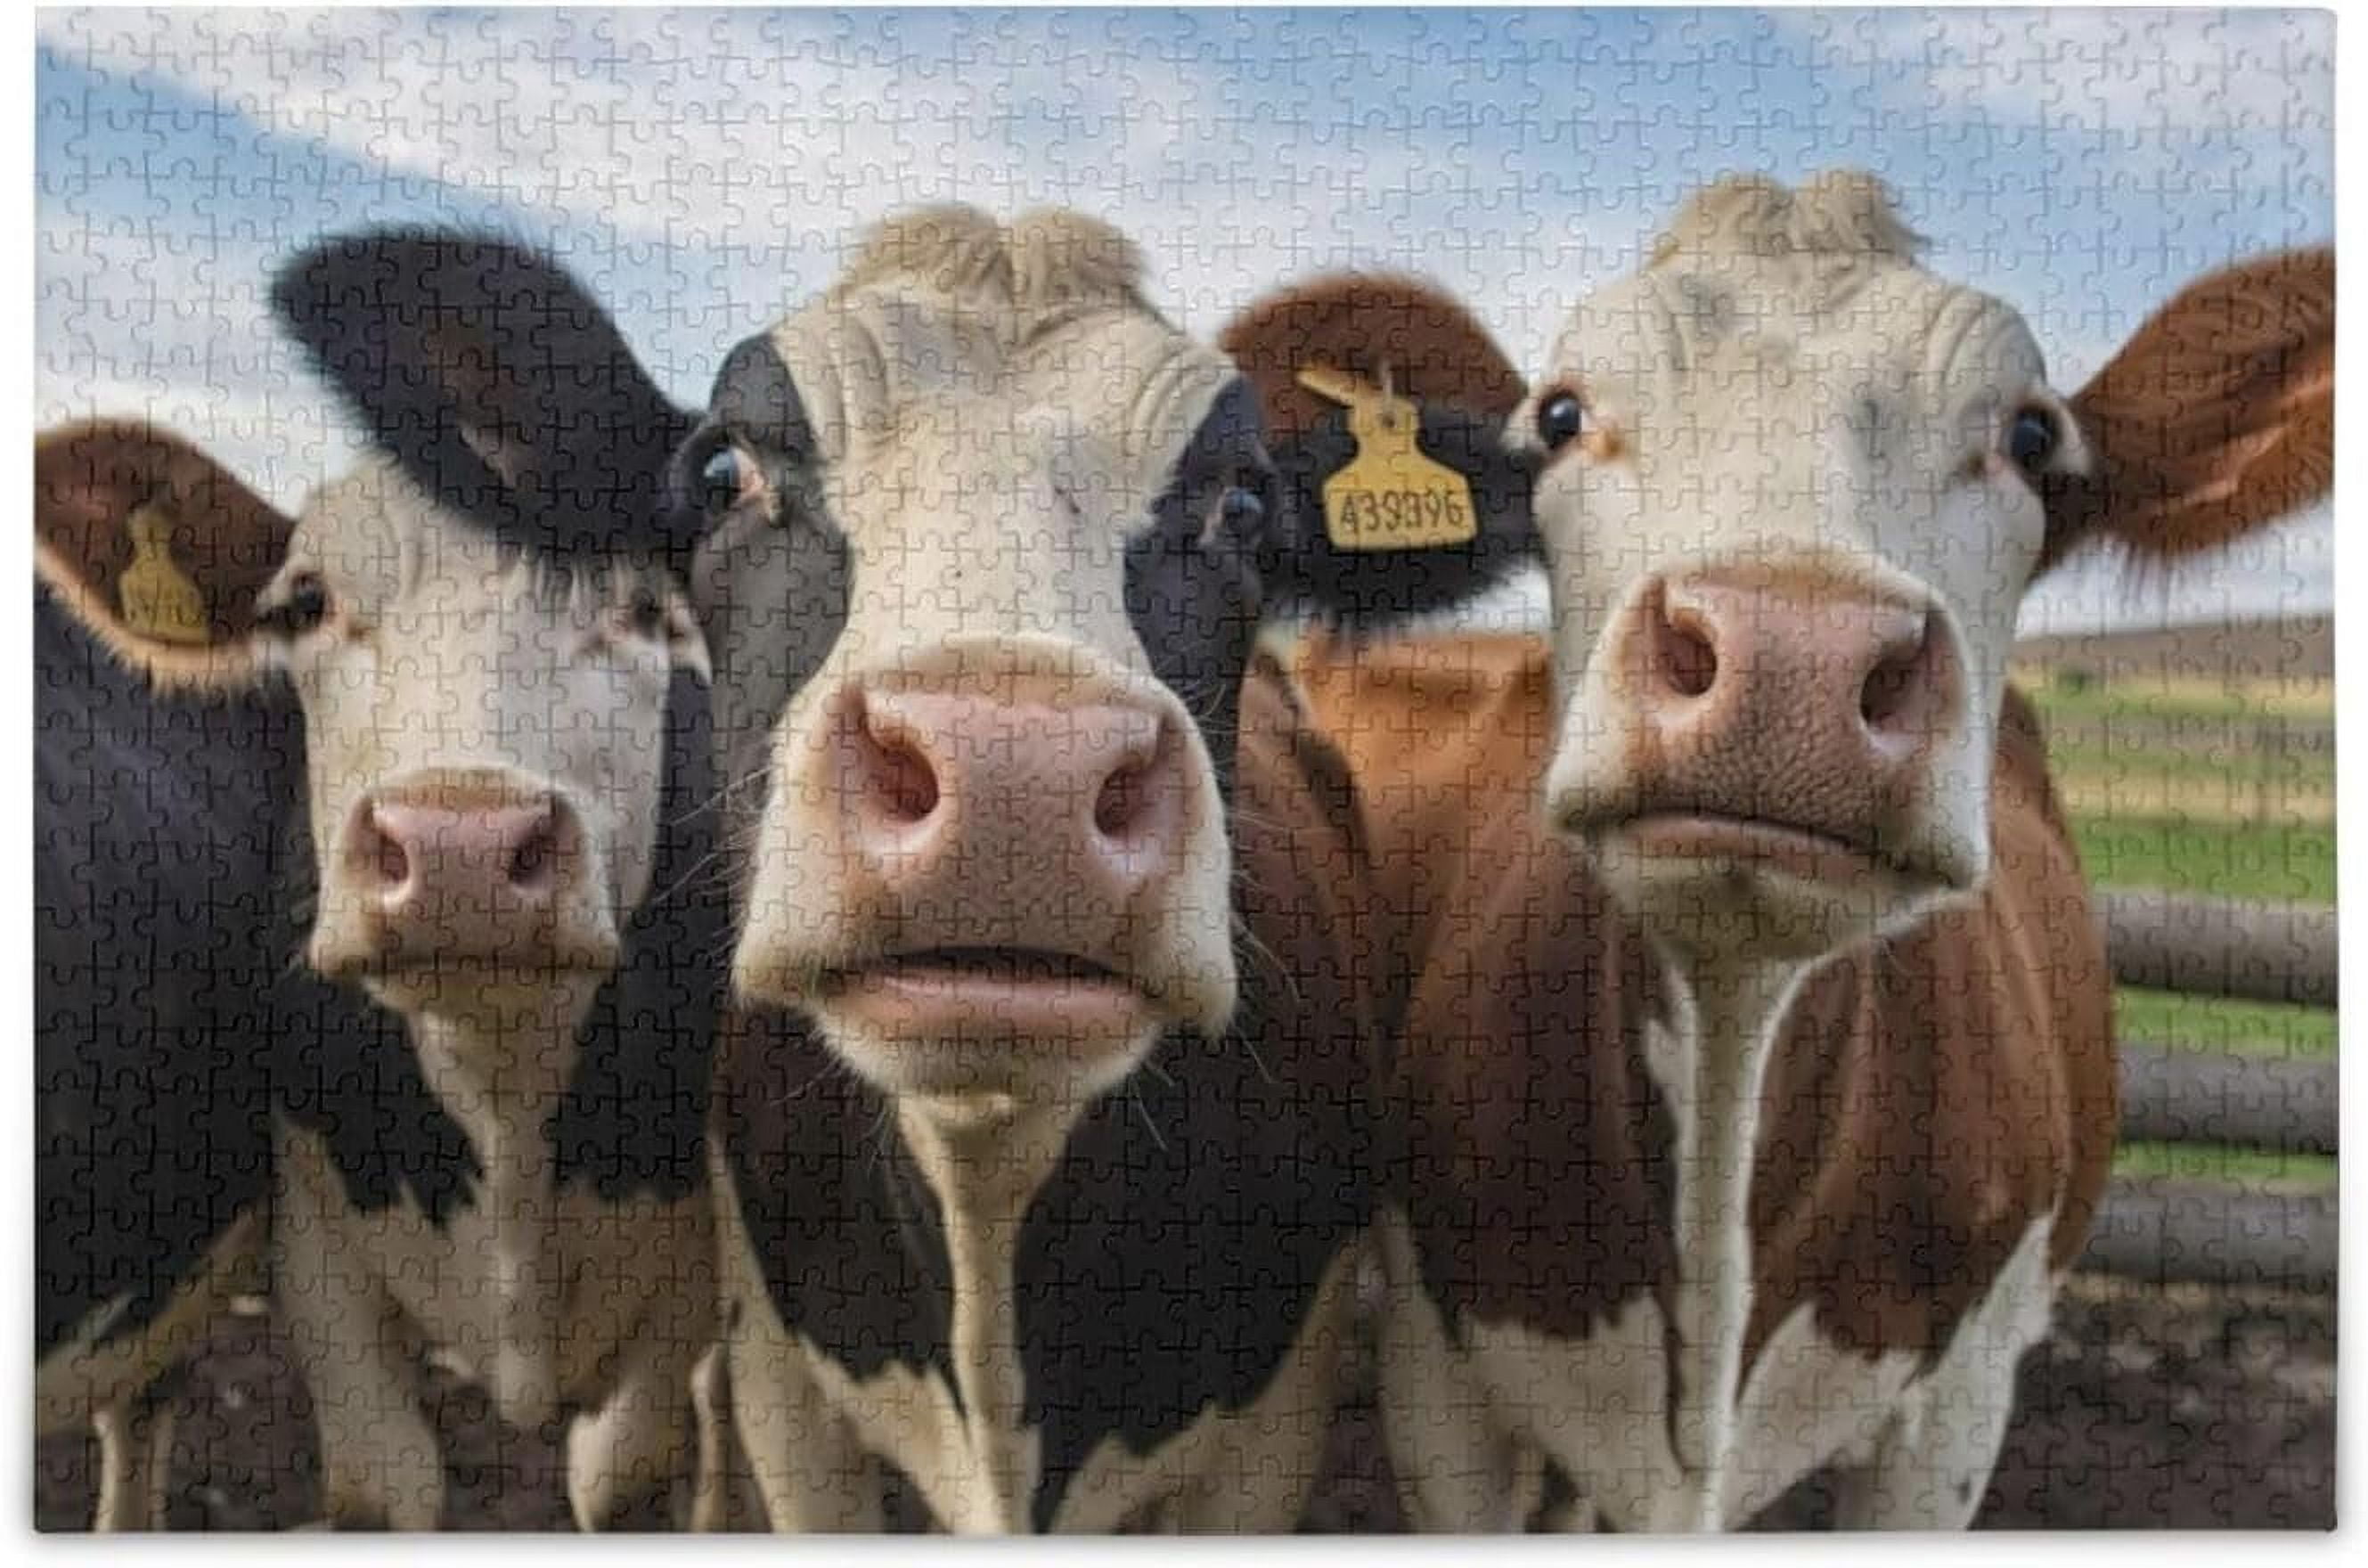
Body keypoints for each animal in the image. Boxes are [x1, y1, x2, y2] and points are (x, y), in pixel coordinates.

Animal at [32, 231, 729, 1529]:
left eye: (648, 610)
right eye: (304, 603)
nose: (460, 851)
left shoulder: (684, 1285)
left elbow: (625, 1470)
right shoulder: (320, 1257)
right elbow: (381, 1478)